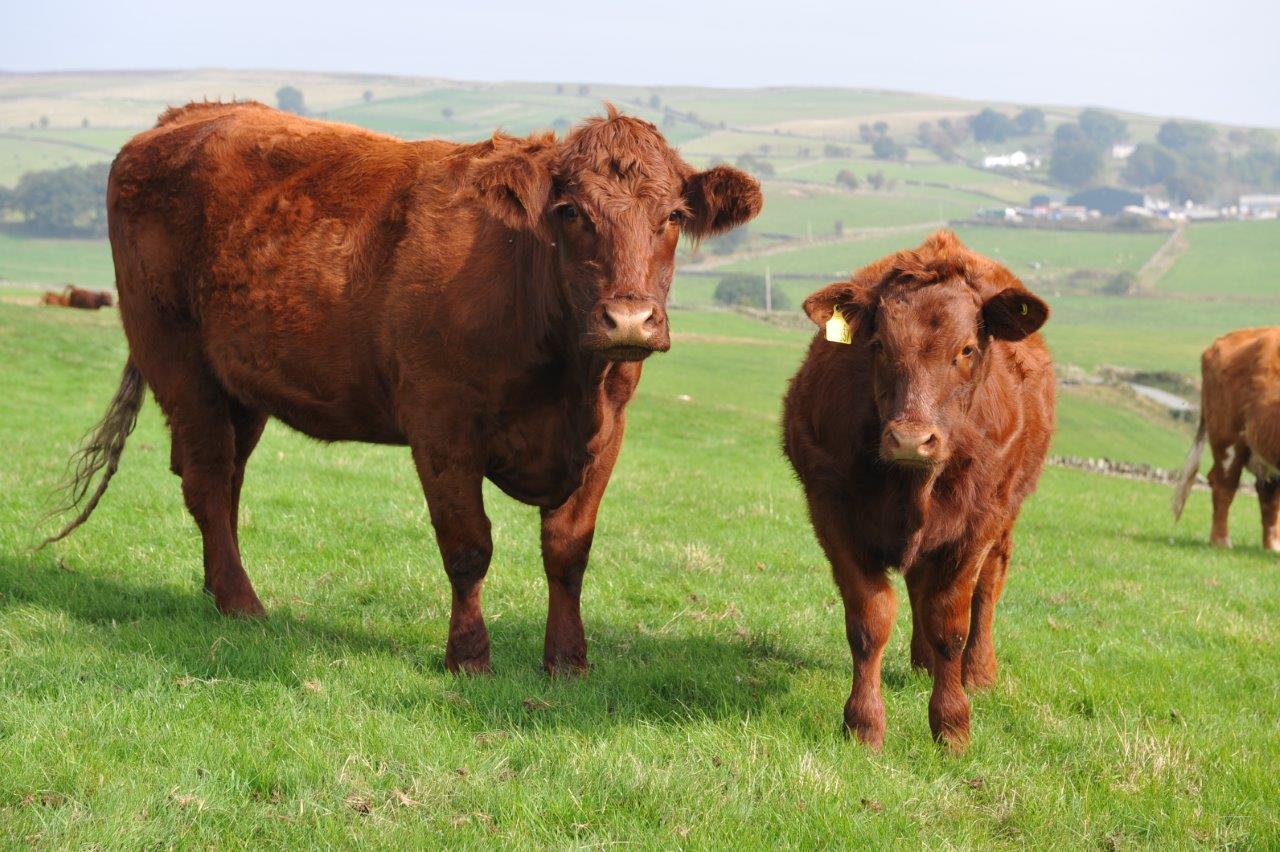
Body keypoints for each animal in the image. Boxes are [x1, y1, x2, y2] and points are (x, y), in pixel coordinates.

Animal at [42, 101, 762, 675]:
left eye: (674, 215)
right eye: (570, 211)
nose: (630, 319)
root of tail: (181, 117)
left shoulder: (607, 432)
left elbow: (567, 551)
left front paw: (567, 661)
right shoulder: (441, 424)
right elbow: (468, 546)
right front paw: (468, 657)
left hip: (238, 384)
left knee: (224, 482)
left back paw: (217, 588)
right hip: (176, 359)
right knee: (207, 478)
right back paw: (243, 604)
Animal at [782, 230, 1054, 751]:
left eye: (966, 349)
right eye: (878, 344)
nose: (910, 438)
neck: (913, 485)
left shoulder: (976, 525)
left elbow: (951, 621)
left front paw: (952, 726)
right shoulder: (831, 511)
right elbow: (869, 620)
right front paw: (864, 724)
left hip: (1005, 515)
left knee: (988, 587)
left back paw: (978, 672)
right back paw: (924, 662)